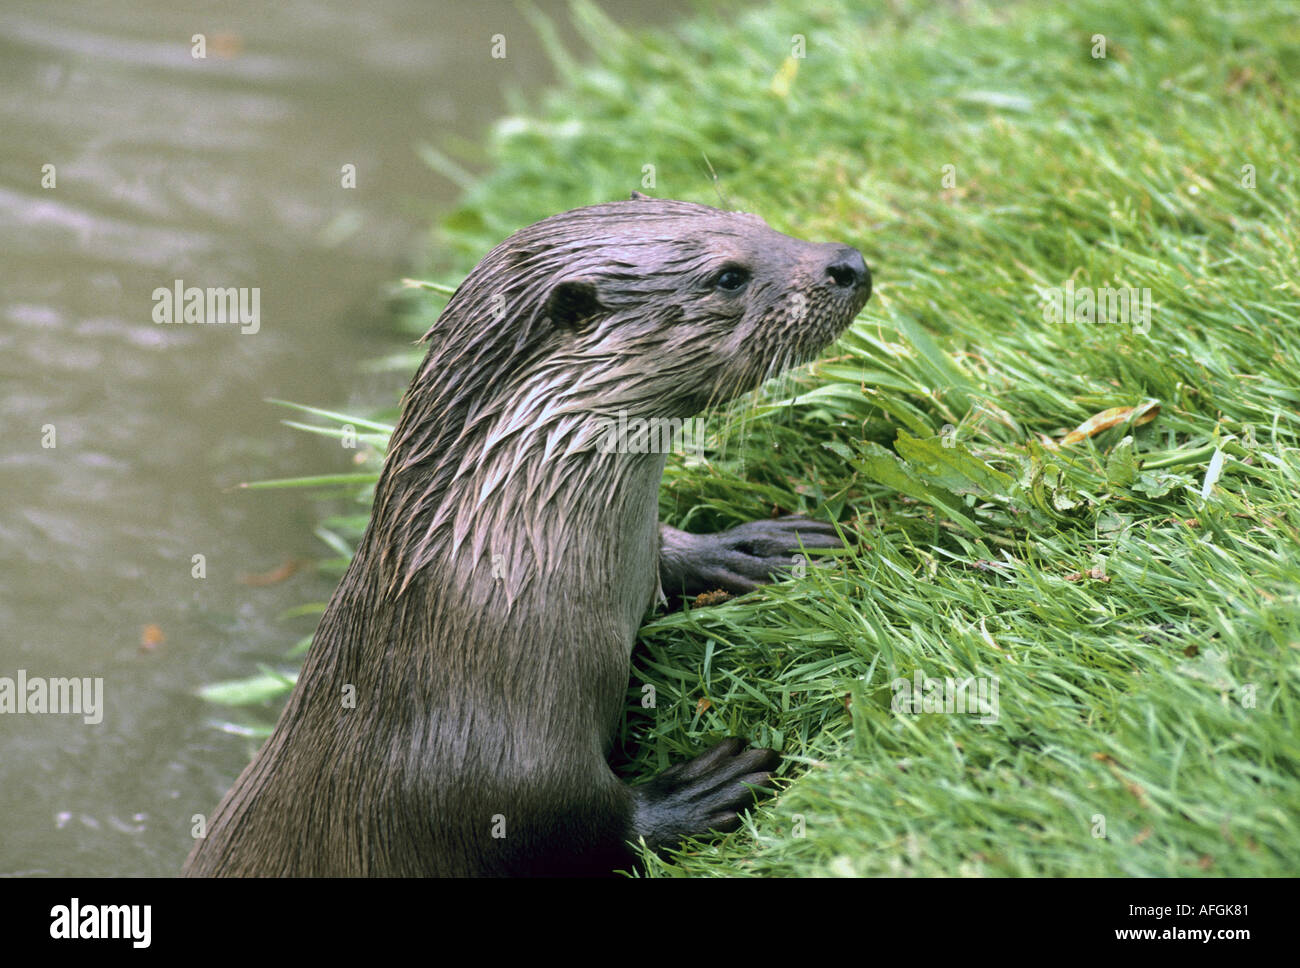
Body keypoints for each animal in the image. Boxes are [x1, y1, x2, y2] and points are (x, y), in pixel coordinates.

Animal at [185, 194, 871, 876]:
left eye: (756, 220)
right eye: (728, 276)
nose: (850, 264)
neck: (504, 573)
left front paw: (754, 547)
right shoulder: (476, 767)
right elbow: (573, 824)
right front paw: (691, 797)